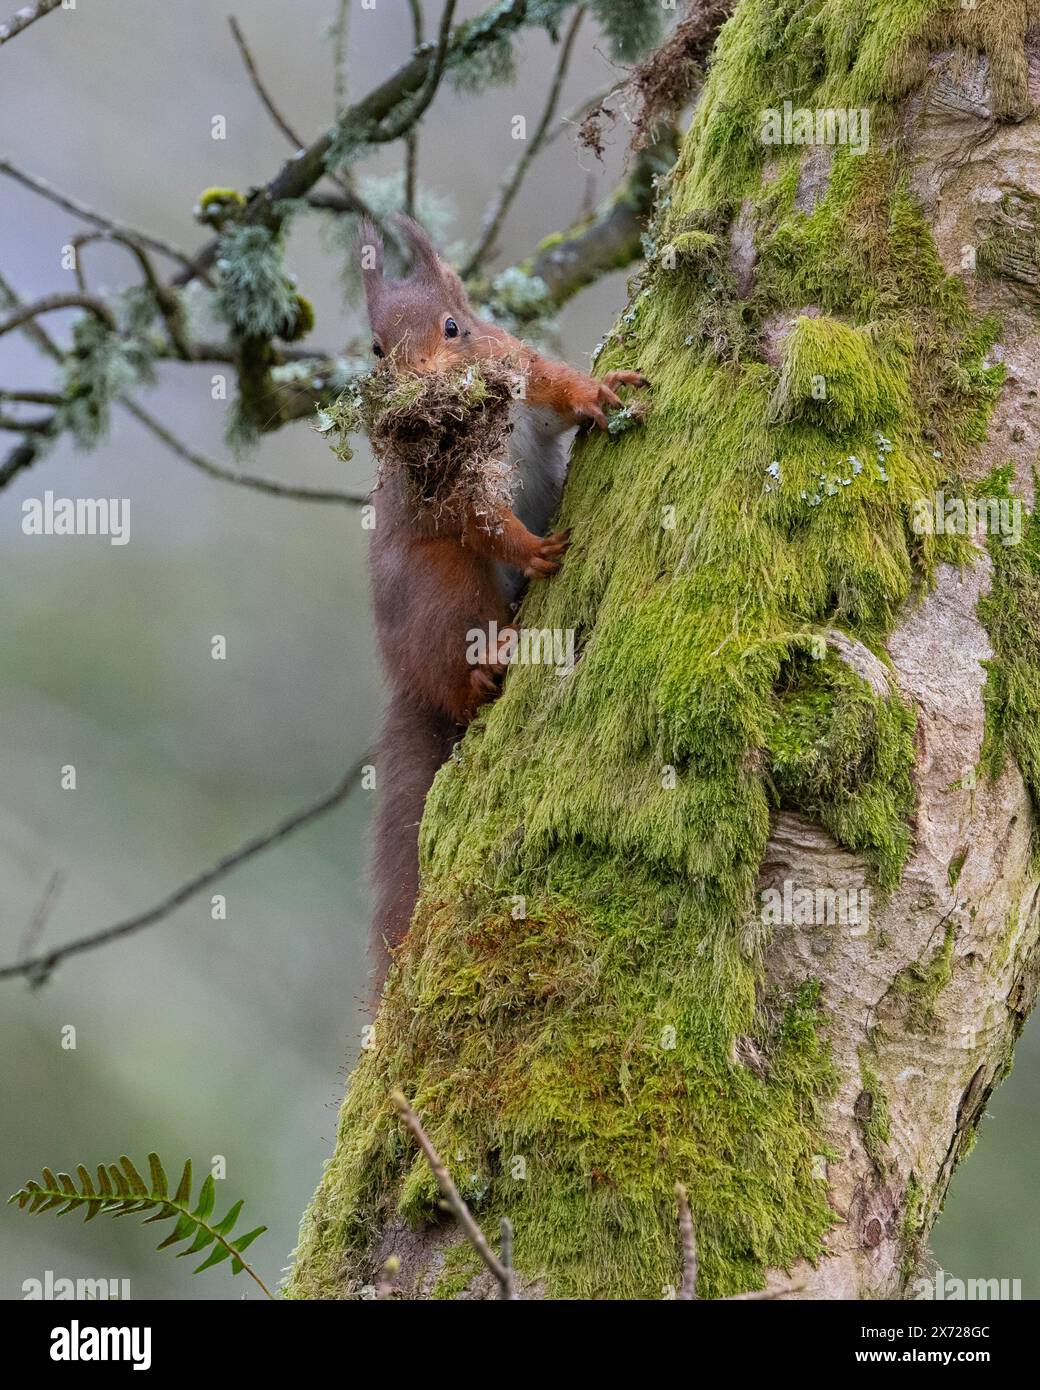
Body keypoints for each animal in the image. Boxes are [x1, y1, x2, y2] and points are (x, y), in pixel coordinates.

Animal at [359, 215, 645, 996]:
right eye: (375, 350)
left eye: (455, 327)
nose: (421, 385)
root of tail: (405, 675)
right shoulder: (454, 493)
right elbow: (483, 521)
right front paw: (534, 550)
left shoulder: (523, 370)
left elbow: (561, 385)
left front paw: (603, 390)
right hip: (443, 589)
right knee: (461, 676)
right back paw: (489, 663)